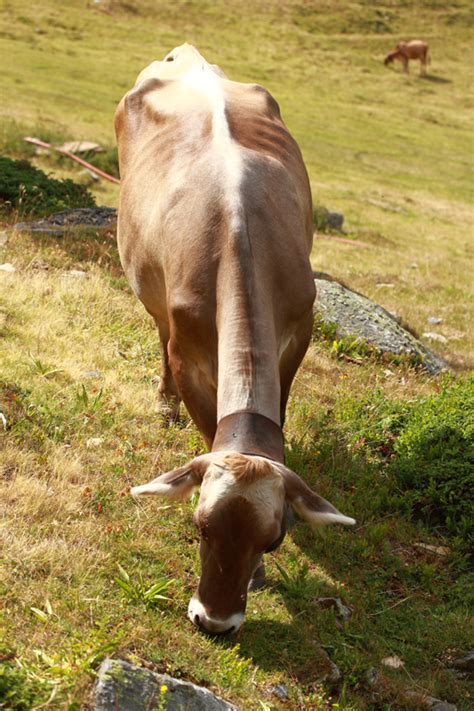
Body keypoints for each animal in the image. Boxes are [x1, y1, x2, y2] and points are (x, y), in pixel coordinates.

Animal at [115, 44, 355, 635]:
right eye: (199, 525)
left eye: (274, 540)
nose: (214, 622)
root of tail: (188, 55)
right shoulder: (187, 350)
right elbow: (202, 417)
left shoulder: (300, 327)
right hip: (151, 289)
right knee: (157, 331)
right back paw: (163, 403)